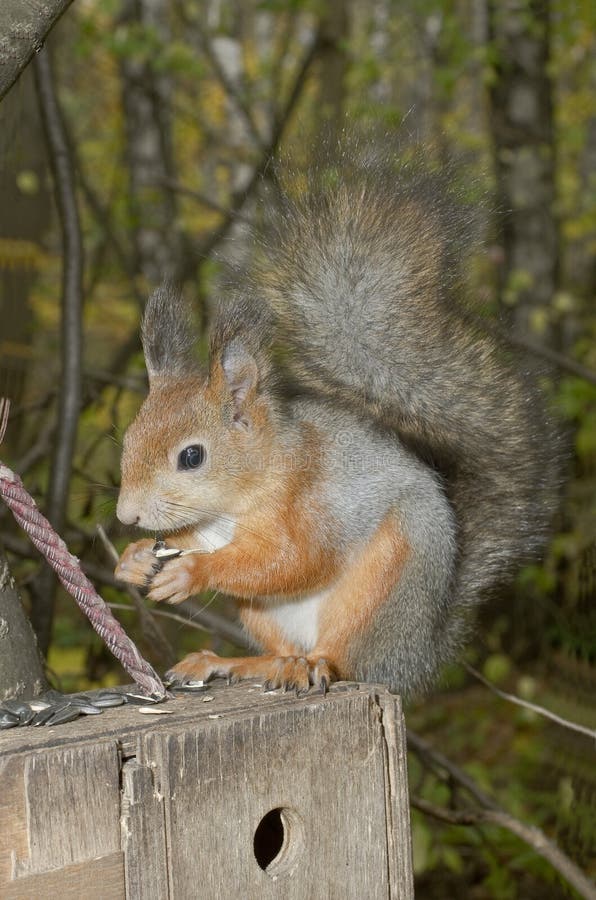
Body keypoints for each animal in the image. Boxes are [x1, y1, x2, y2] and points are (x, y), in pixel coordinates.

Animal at [114, 147, 559, 698]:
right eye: (129, 440)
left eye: (192, 456)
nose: (127, 515)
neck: (240, 495)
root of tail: (417, 654)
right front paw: (134, 558)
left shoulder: (314, 502)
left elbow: (297, 559)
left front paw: (192, 572)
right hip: (262, 614)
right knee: (281, 649)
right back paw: (238, 662)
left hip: (384, 581)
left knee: (344, 656)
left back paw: (312, 665)